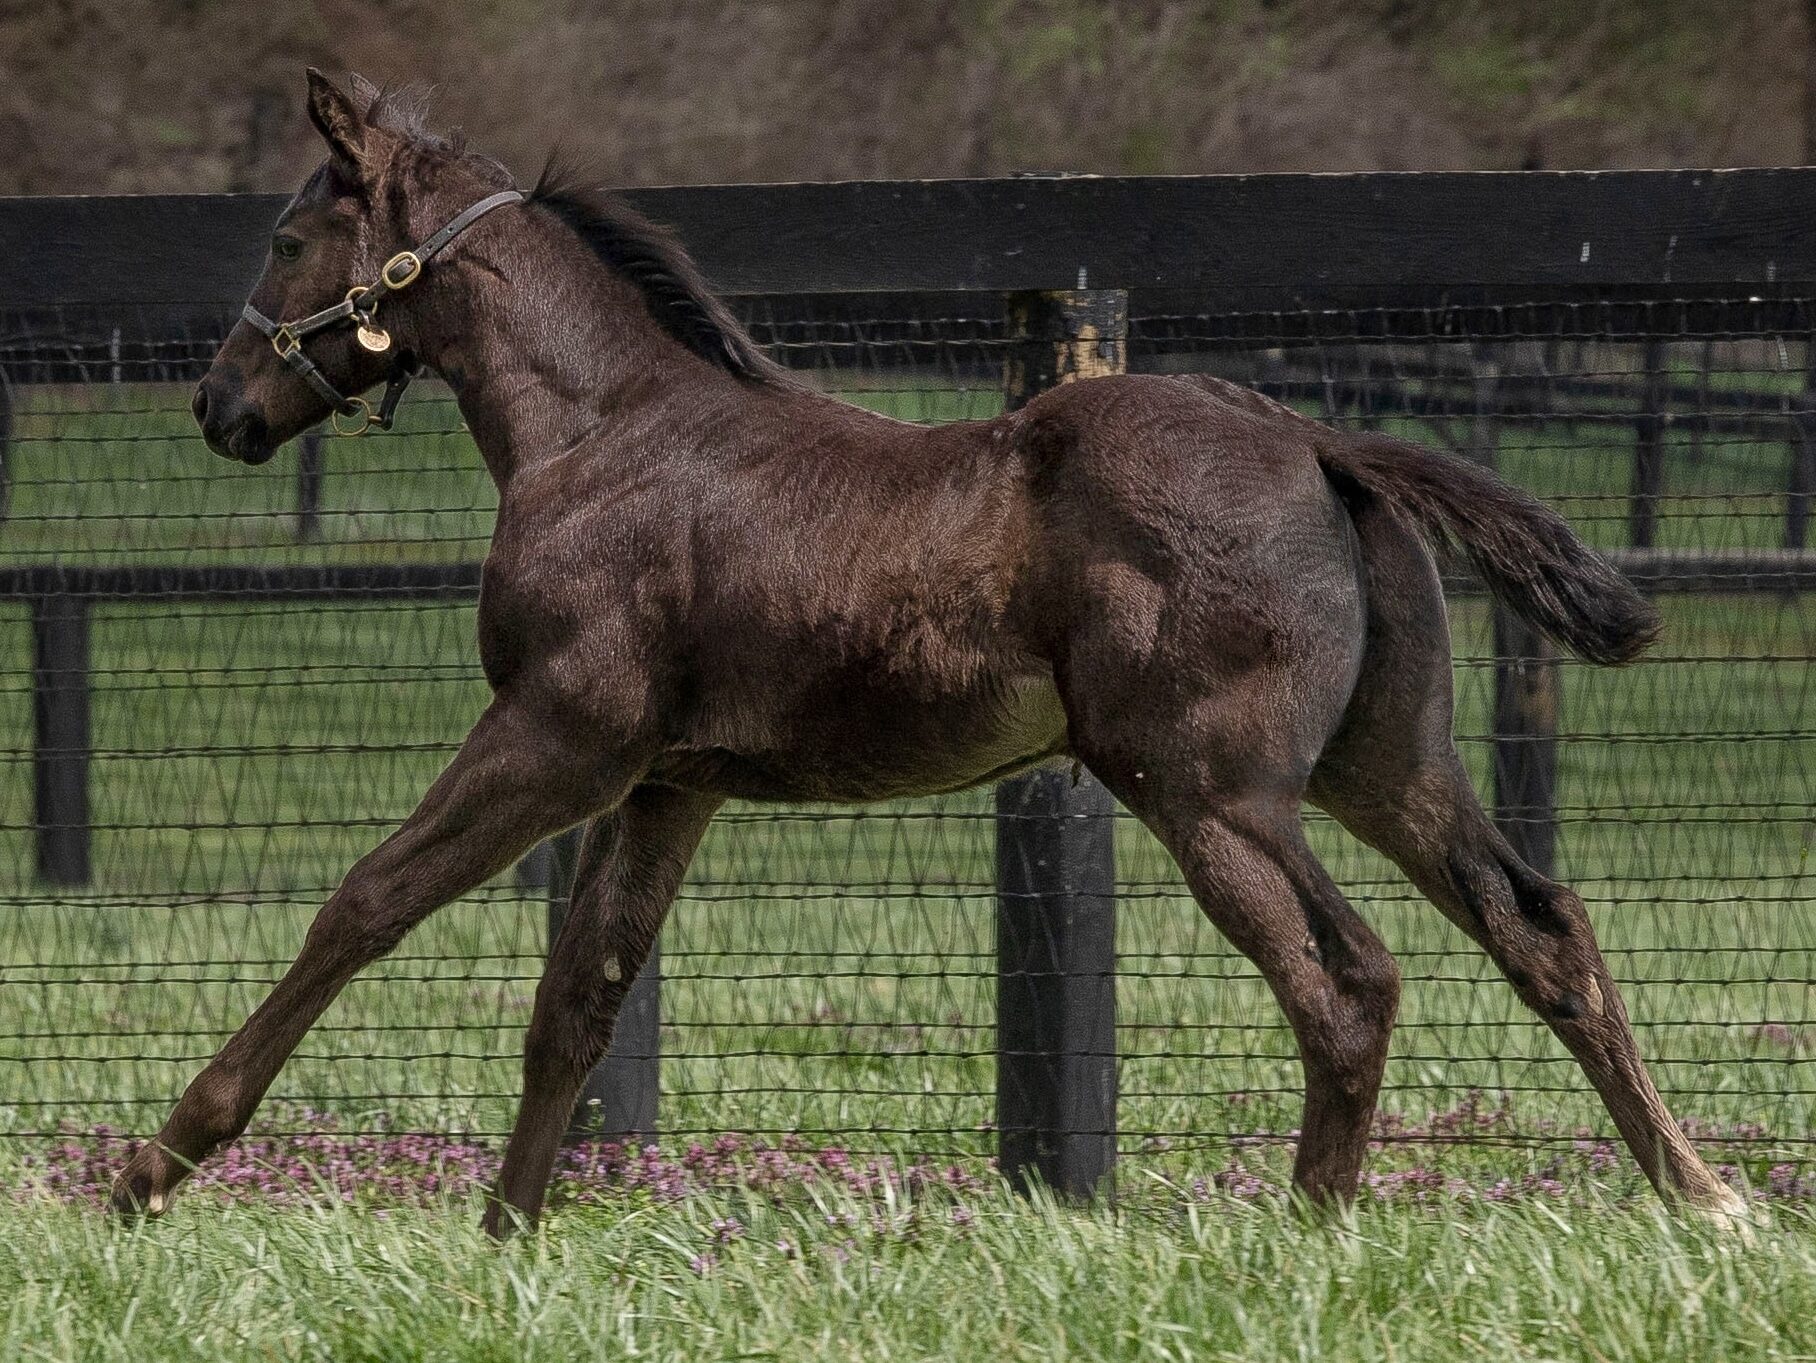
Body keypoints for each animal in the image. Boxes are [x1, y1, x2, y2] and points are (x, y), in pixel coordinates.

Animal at [113, 69, 1746, 1235]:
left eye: (285, 235)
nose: (217, 407)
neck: (601, 435)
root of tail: (1318, 440)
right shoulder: (671, 780)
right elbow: (579, 996)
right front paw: (505, 1241)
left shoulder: (557, 734)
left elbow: (367, 902)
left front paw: (153, 1162)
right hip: (1382, 765)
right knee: (1540, 926)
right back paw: (1705, 1195)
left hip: (1211, 791)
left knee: (1350, 979)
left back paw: (1311, 1235)